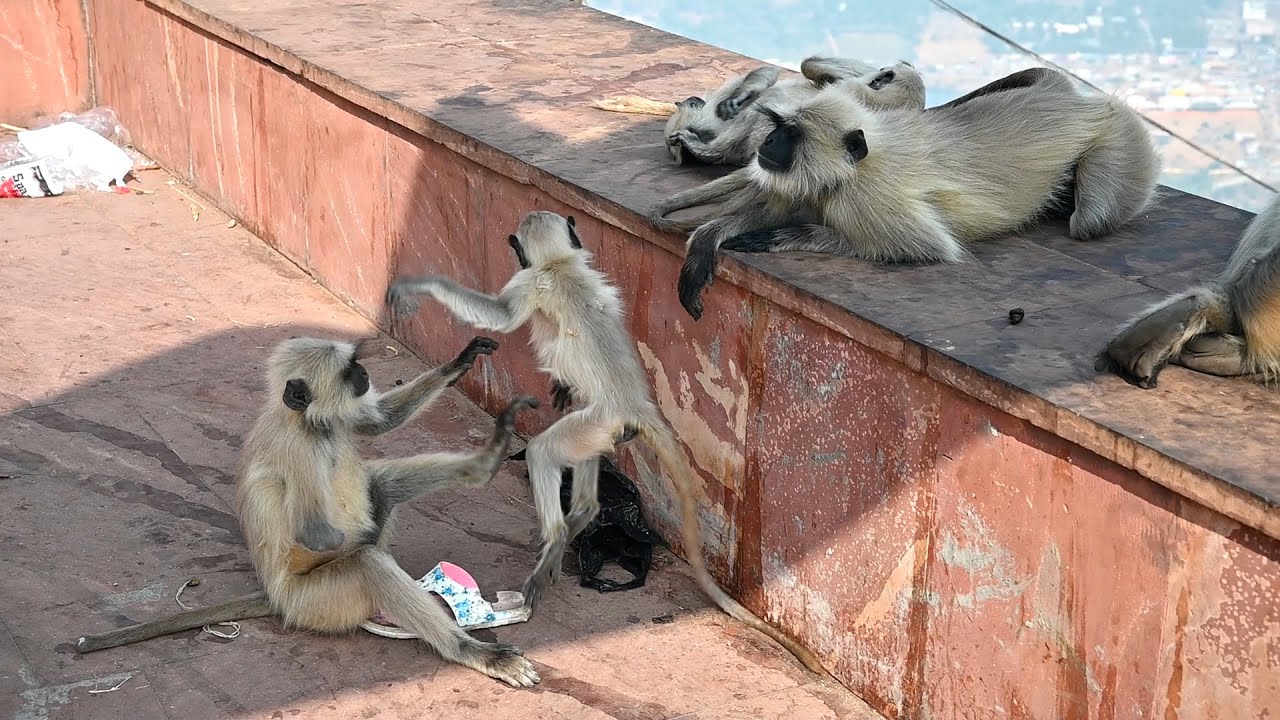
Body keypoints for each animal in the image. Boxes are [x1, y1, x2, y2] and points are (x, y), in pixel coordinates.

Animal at [72, 336, 544, 688]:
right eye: (347, 370)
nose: (363, 372)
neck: (307, 424)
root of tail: (276, 597)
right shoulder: (300, 452)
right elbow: (318, 535)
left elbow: (378, 421)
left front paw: (463, 359)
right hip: (315, 602)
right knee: (368, 559)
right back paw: (471, 649)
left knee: (382, 482)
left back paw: (483, 465)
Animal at [386, 210, 830, 677]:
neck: (560, 264)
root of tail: (635, 404)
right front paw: (561, 385)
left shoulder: (531, 283)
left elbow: (500, 315)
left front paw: (421, 285)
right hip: (600, 429)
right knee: (584, 462)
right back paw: (583, 515)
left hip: (597, 421)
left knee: (543, 450)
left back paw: (557, 537)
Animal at [649, 66, 1160, 319]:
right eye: (777, 129)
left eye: (790, 134)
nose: (769, 143)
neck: (856, 164)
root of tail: (1076, 102)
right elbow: (766, 203)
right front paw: (702, 237)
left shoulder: (866, 197)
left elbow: (928, 247)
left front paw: (776, 238)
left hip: (1120, 134)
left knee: (1089, 219)